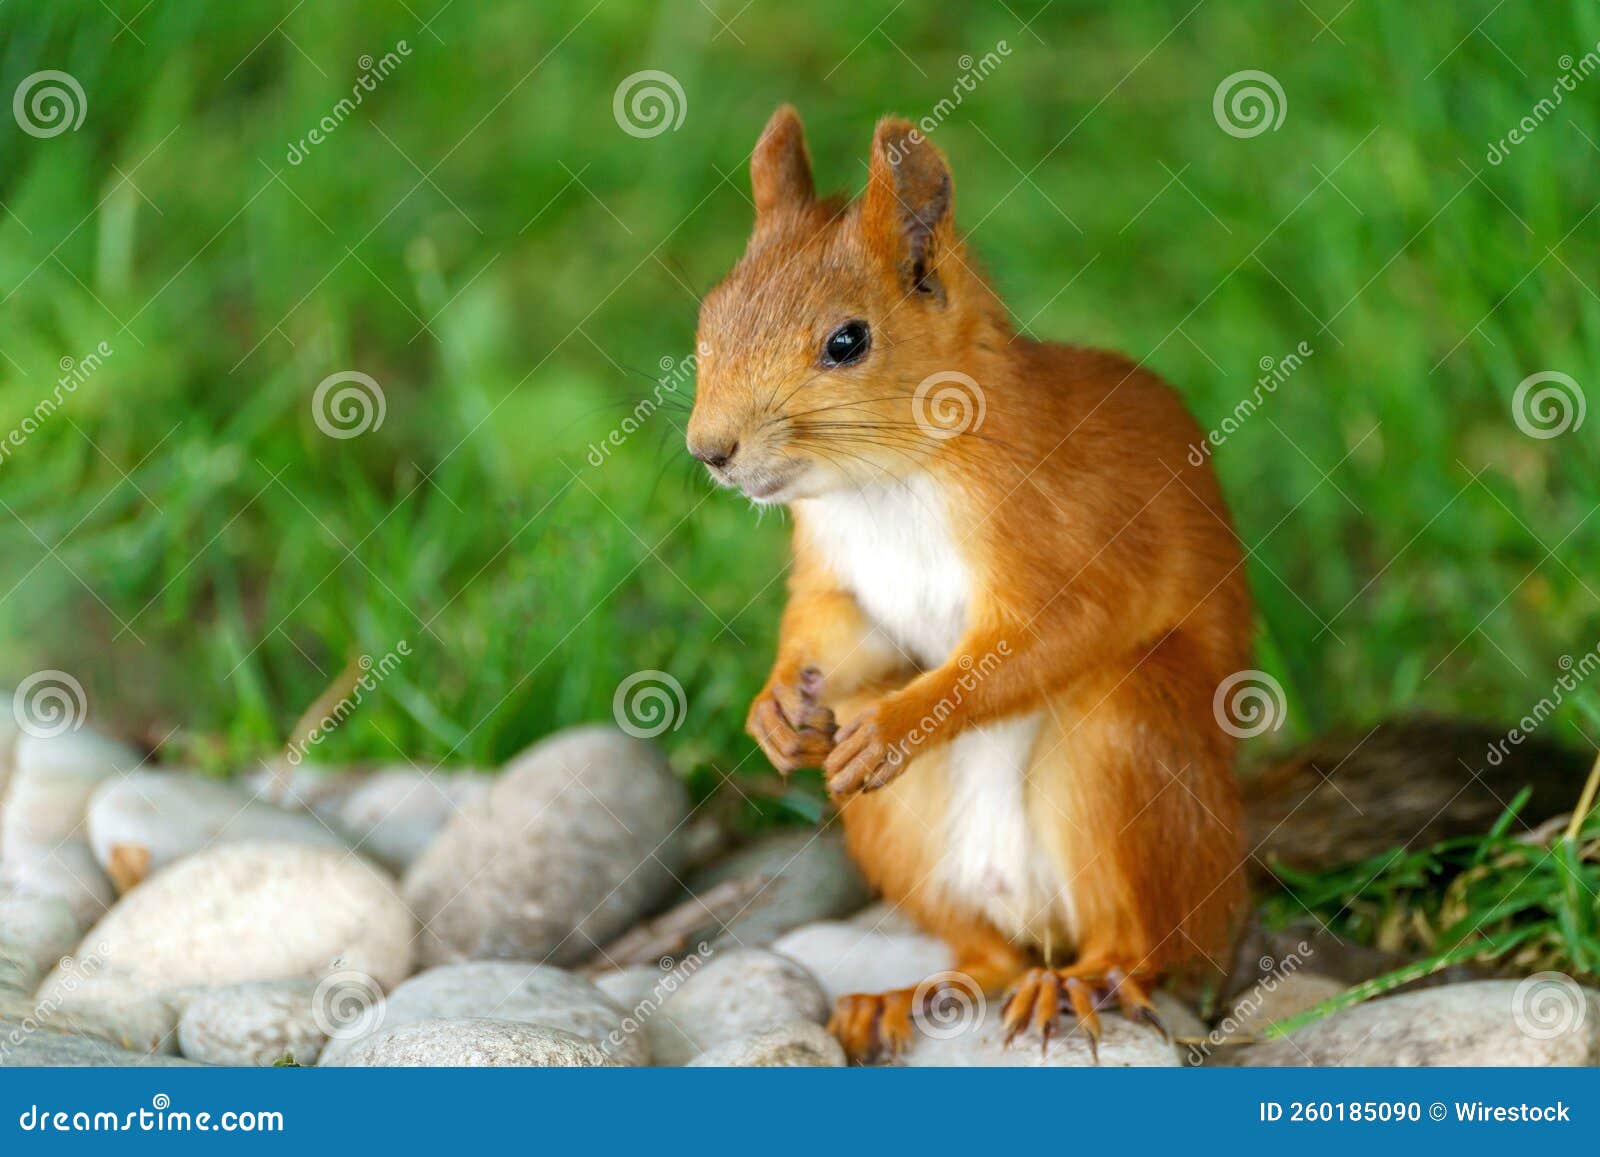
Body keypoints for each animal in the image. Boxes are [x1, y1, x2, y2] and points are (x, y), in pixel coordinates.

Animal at [687, 106, 1254, 1063]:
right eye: (708, 316)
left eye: (848, 340)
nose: (710, 449)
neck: (889, 479)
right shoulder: (839, 573)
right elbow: (831, 631)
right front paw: (775, 708)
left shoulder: (1066, 531)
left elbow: (1048, 635)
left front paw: (899, 724)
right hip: (902, 837)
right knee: (987, 954)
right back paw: (905, 994)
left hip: (1130, 746)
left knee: (1147, 944)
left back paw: (1079, 980)